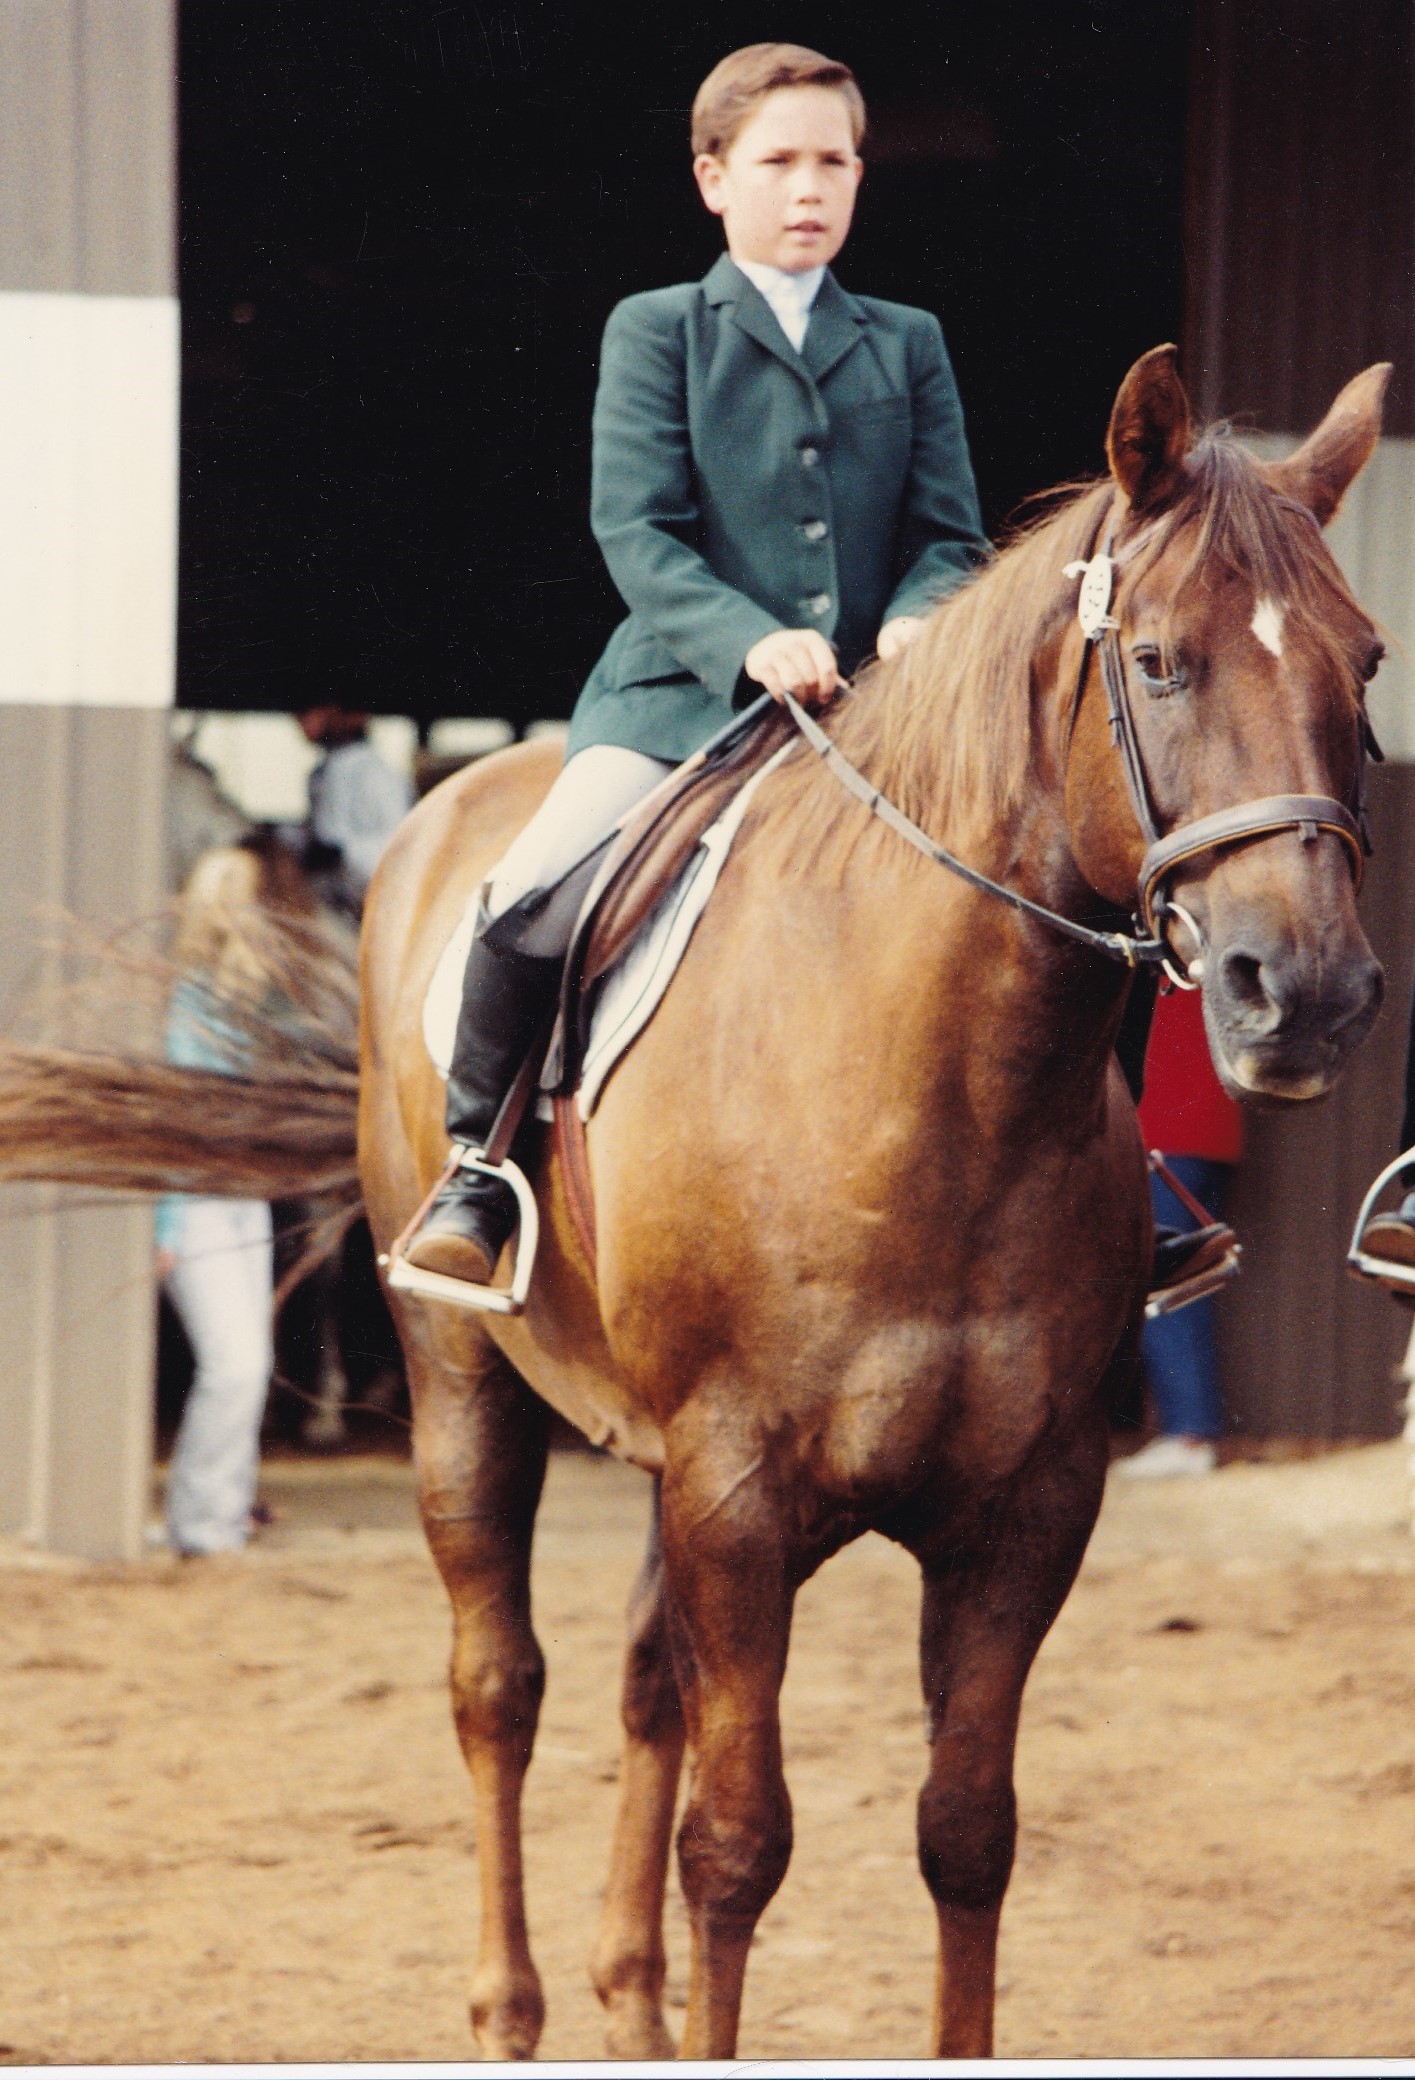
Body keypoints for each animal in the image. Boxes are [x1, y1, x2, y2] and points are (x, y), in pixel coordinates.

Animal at [0, 347, 1387, 2058]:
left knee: (640, 1683)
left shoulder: (1026, 1506)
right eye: (1155, 660)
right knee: (497, 1686)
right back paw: (510, 2008)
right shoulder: (738, 1490)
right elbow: (735, 1844)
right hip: (463, 1385)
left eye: (1364, 666)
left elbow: (964, 1834)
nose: (1302, 992)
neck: (937, 1087)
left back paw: (625, 2004)